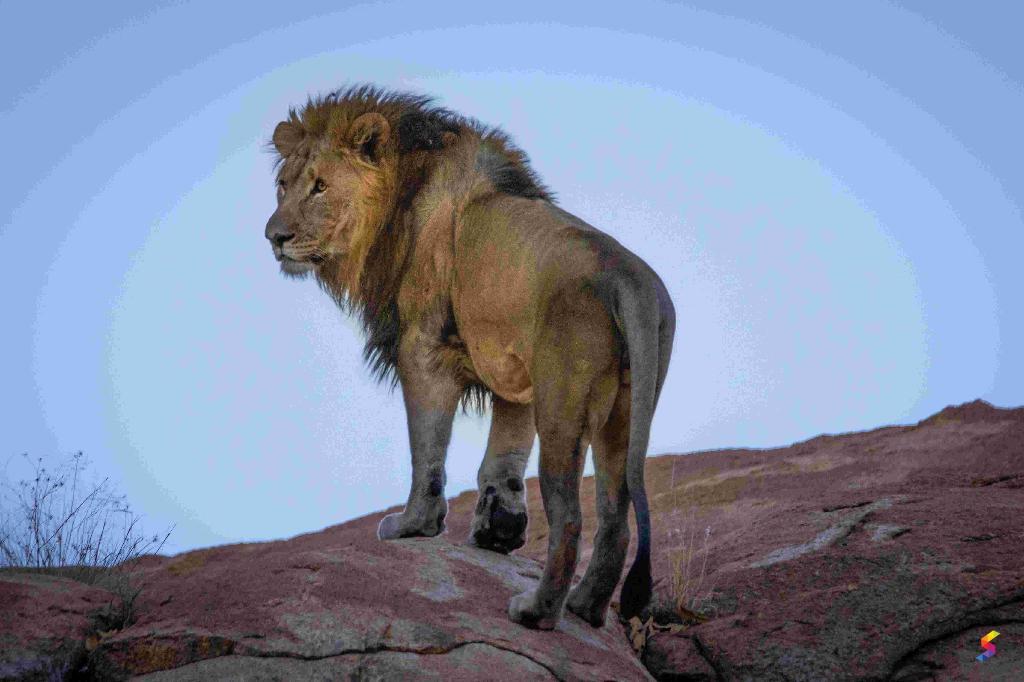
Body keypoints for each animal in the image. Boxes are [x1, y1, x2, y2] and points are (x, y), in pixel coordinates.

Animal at [264, 85, 675, 629]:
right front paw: (497, 532)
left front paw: (414, 524)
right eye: (282, 186)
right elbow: (502, 462)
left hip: (564, 405)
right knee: (615, 517)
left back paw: (537, 611)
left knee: (570, 517)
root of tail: (627, 277)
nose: (275, 237)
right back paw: (585, 607)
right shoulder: (516, 375)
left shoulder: (424, 350)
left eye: (320, 187)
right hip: (624, 414)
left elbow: (427, 451)